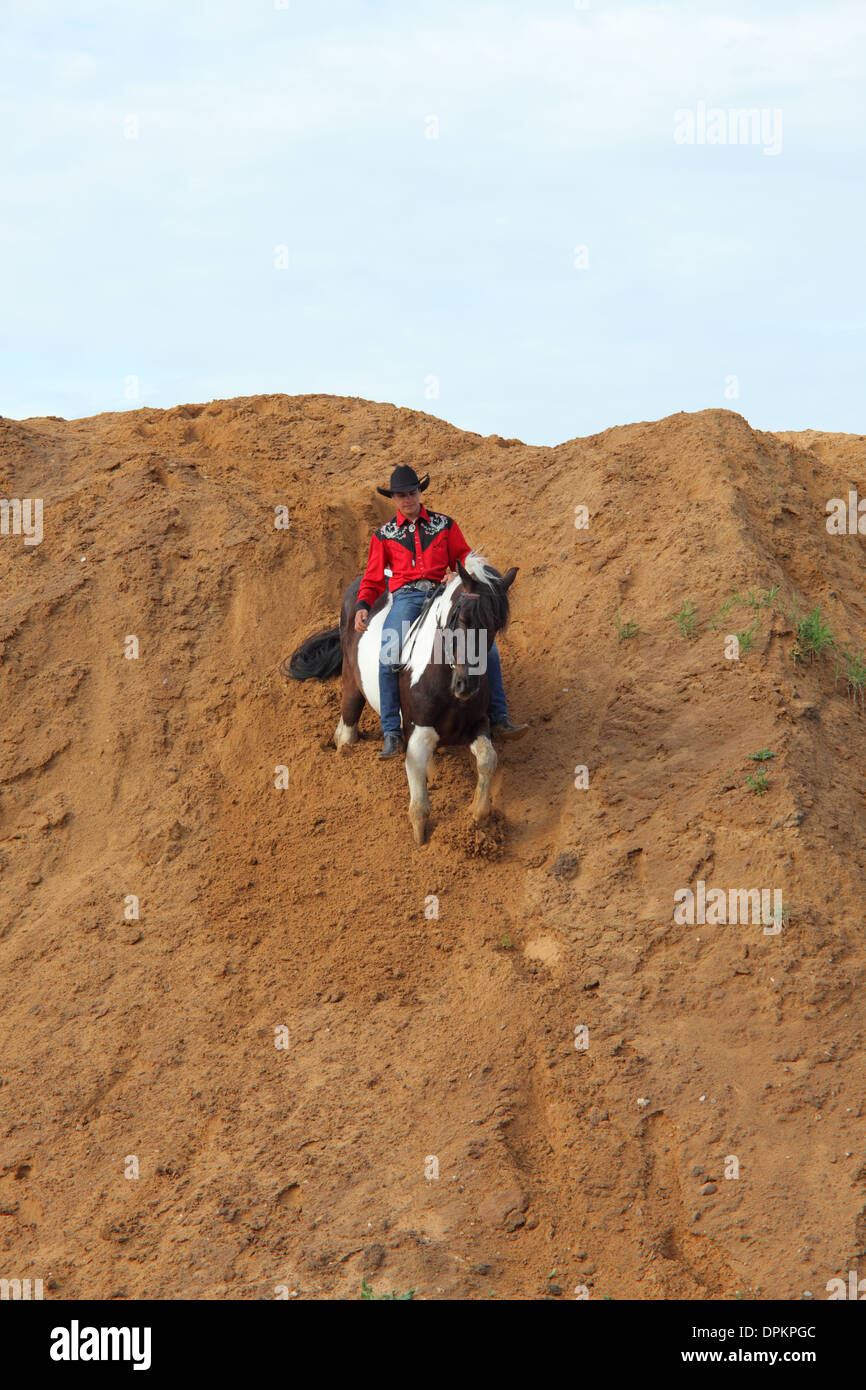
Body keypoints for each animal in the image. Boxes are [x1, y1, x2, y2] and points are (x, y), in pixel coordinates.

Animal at [283, 553, 518, 845]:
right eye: (462, 618)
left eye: (496, 626)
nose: (467, 685)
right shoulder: (417, 733)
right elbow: (419, 802)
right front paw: (420, 839)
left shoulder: (477, 724)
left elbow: (488, 758)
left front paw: (477, 813)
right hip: (351, 684)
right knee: (347, 729)